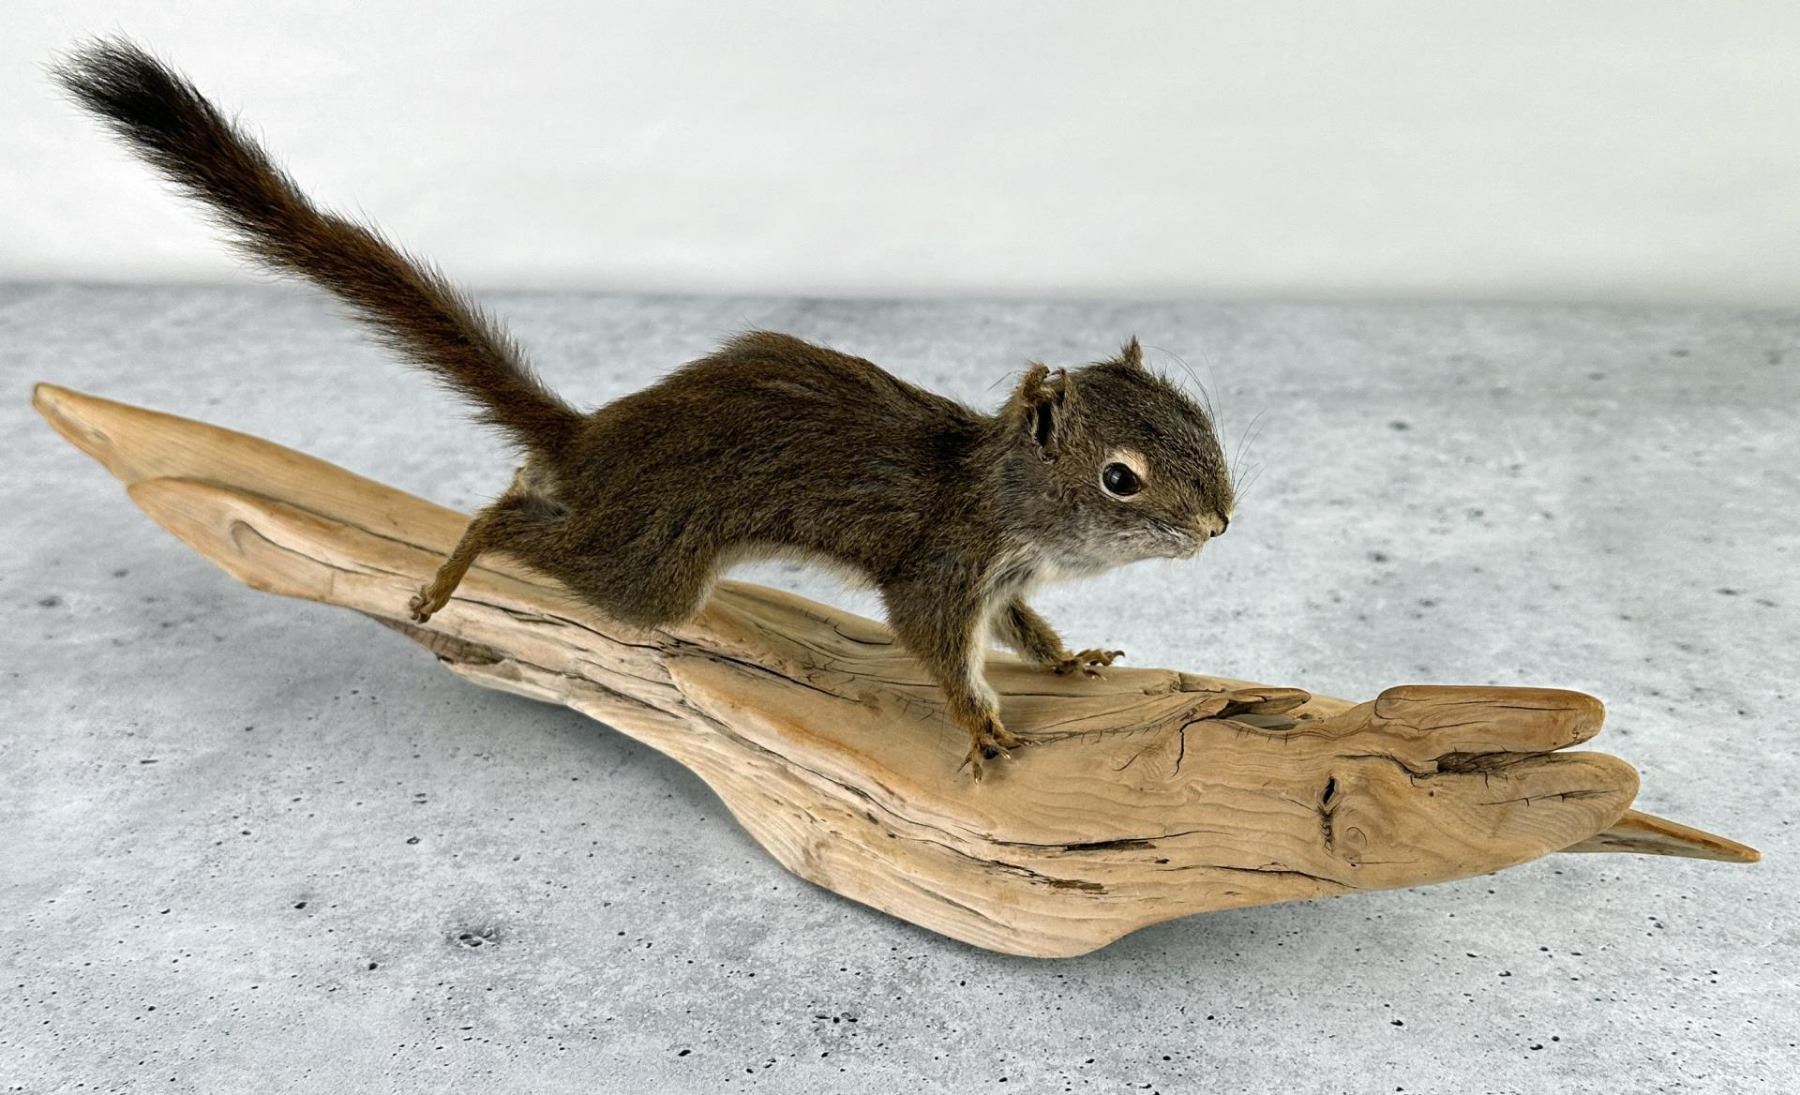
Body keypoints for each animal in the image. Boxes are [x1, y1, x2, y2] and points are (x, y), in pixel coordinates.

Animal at [55, 38, 1235, 779]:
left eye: (1198, 418)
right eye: (1121, 477)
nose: (1221, 523)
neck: (1005, 497)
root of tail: (591, 441)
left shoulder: (1008, 581)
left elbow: (1028, 630)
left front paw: (1069, 662)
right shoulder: (942, 569)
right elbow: (938, 649)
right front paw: (982, 729)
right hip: (650, 566)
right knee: (520, 525)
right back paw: (451, 571)